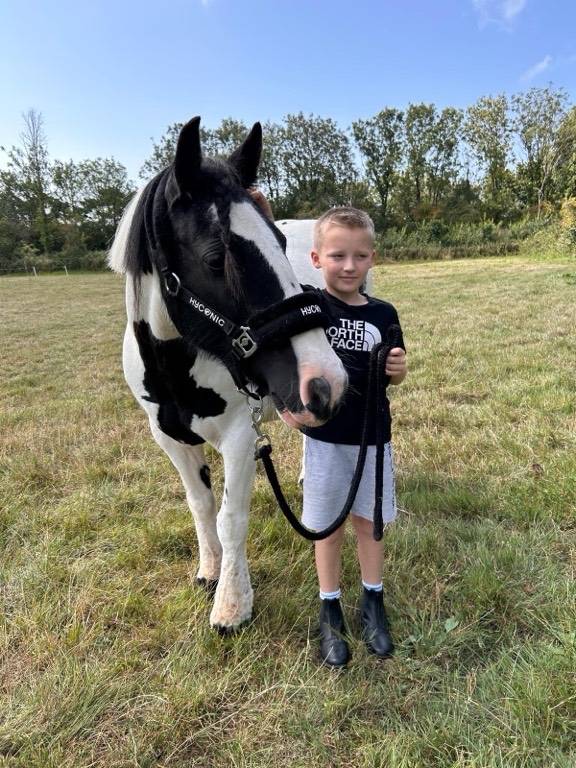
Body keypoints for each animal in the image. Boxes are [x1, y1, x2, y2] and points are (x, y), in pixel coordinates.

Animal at [108, 117, 348, 632]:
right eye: (216, 258)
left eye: (280, 244)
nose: (324, 380)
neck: (174, 369)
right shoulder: (168, 438)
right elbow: (200, 504)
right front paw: (210, 570)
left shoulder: (241, 434)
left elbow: (231, 516)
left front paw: (232, 606)